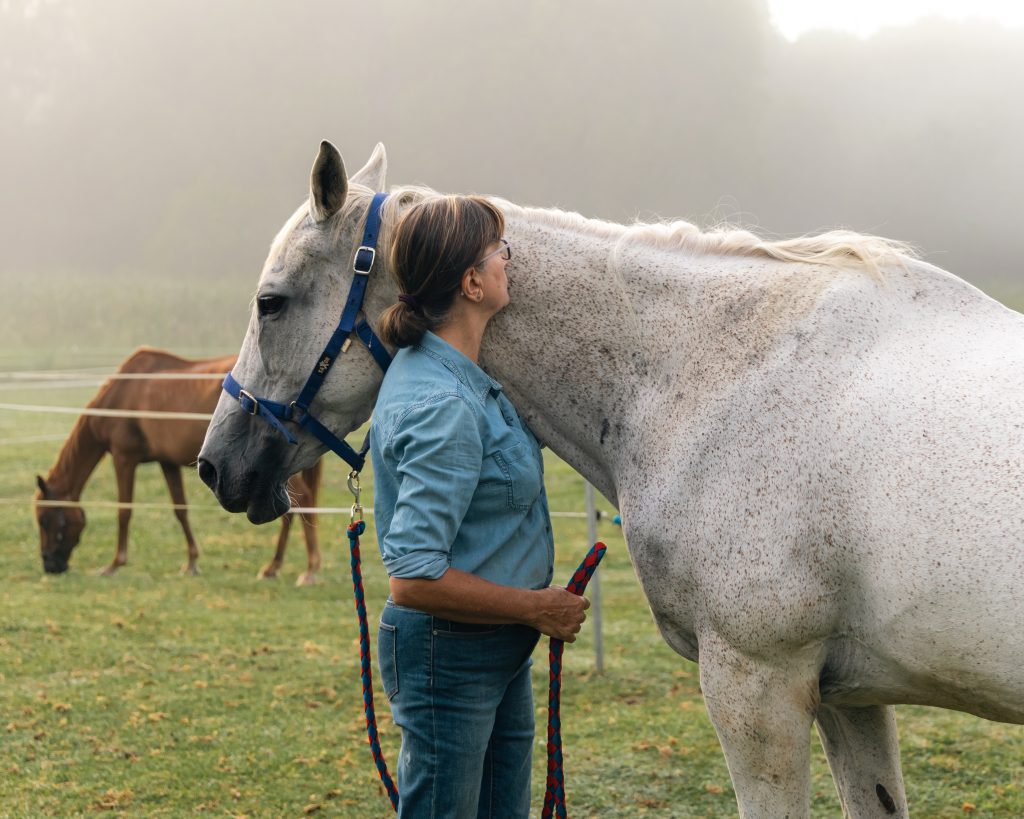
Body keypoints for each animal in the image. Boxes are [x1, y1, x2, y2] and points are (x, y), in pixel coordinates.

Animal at [35, 347, 324, 585]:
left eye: (45, 519)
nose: (50, 565)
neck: (122, 395)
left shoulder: (123, 458)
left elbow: (124, 511)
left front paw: (115, 564)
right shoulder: (167, 463)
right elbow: (180, 510)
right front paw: (192, 561)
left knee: (304, 500)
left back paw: (310, 569)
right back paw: (273, 567)